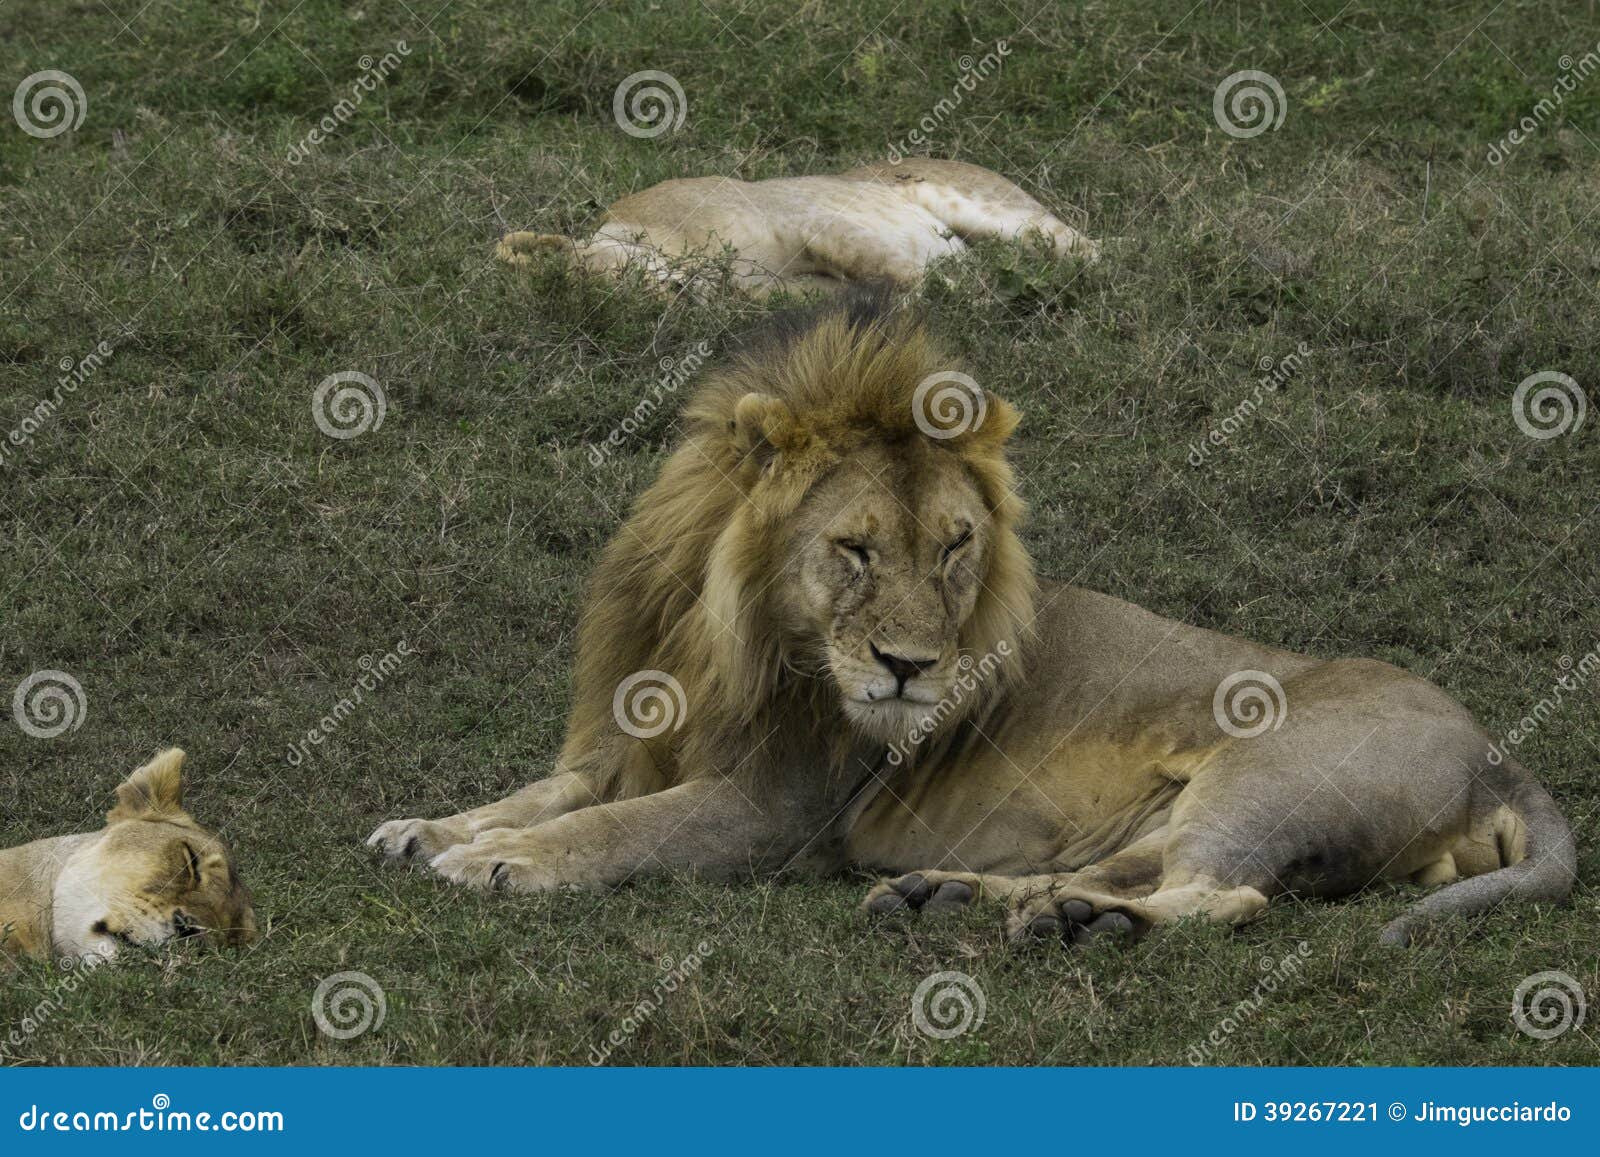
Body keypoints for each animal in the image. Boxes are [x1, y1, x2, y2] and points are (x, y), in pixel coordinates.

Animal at [369, 295, 1576, 948]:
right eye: (855, 548)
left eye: (954, 547)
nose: (911, 668)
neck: (716, 629)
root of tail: (1498, 751)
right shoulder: (626, 742)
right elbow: (545, 789)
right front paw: (429, 827)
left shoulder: (775, 810)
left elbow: (617, 828)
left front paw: (504, 860)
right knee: (1138, 867)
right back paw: (954, 895)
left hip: (1268, 771)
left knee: (1217, 891)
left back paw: (1073, 924)